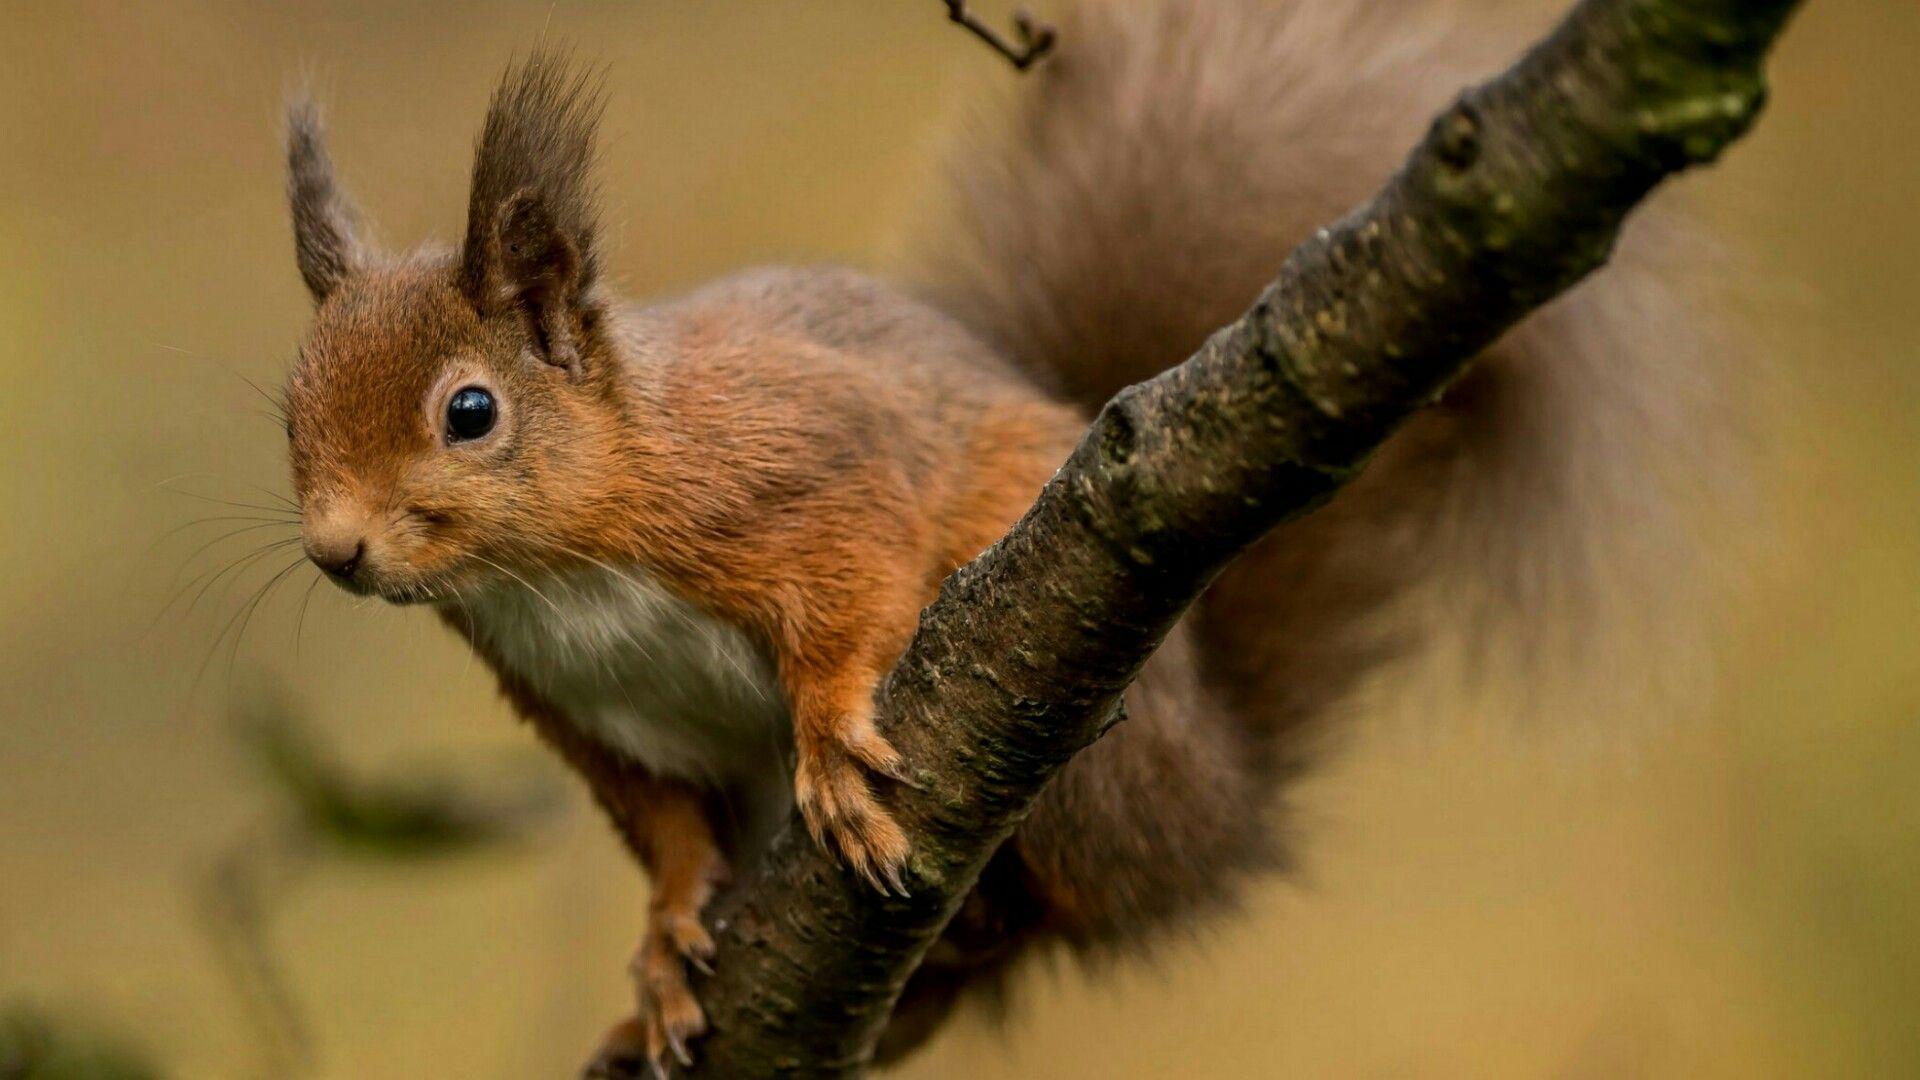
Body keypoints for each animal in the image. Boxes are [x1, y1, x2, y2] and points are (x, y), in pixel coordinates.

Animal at [280, 0, 1742, 1073]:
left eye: (470, 412)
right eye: (287, 410)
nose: (336, 553)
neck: (558, 579)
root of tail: (1223, 808)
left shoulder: (802, 467)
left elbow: (858, 577)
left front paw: (830, 739)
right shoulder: (585, 713)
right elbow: (666, 830)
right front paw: (662, 941)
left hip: (1095, 765)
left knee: (1031, 922)